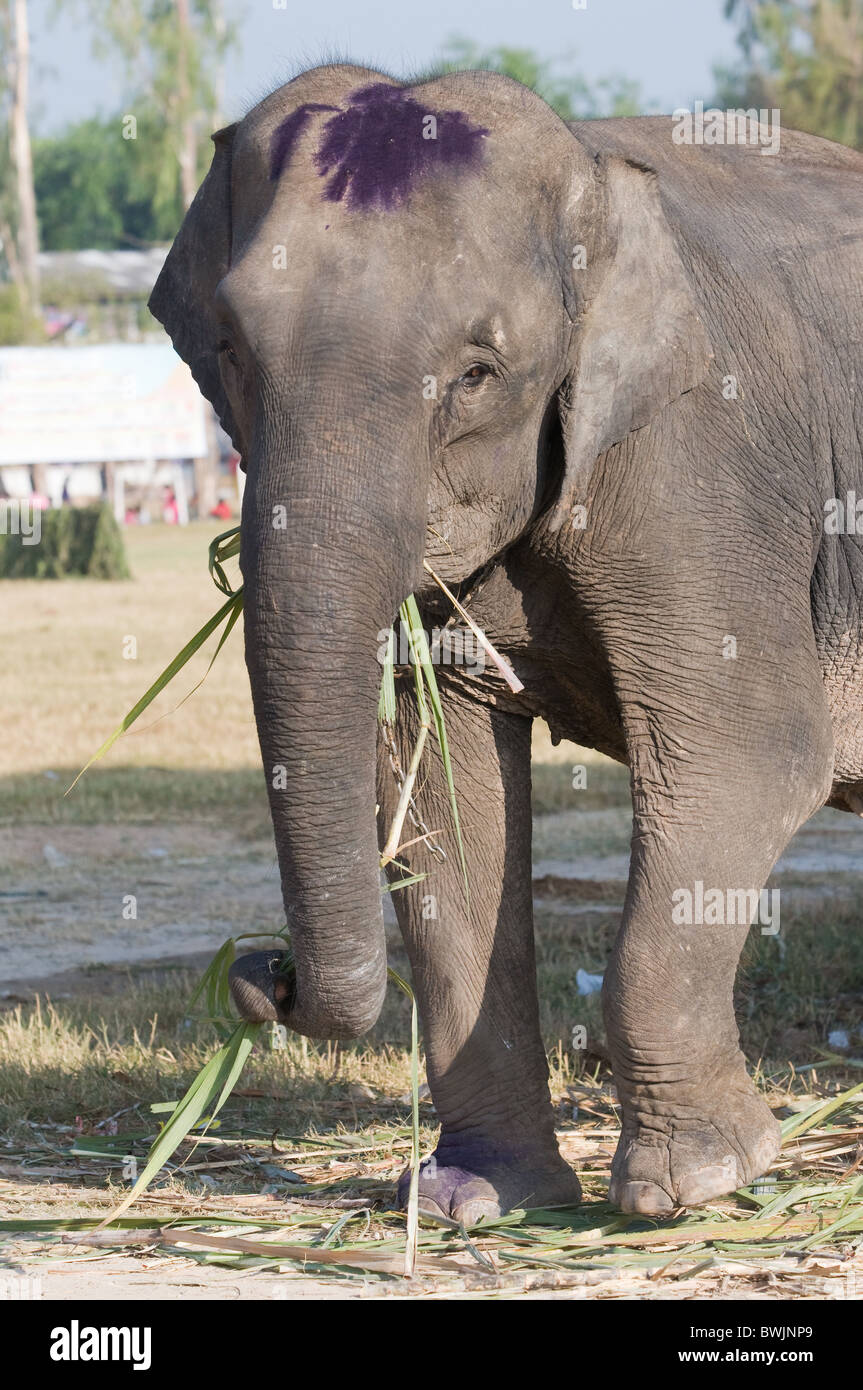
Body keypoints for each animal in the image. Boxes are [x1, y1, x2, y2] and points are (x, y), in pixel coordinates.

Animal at [149, 64, 863, 1223]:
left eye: (477, 372)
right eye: (231, 349)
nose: (263, 973)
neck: (591, 170)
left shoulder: (698, 465)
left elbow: (750, 755)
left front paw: (692, 1187)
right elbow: (440, 797)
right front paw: (473, 1200)